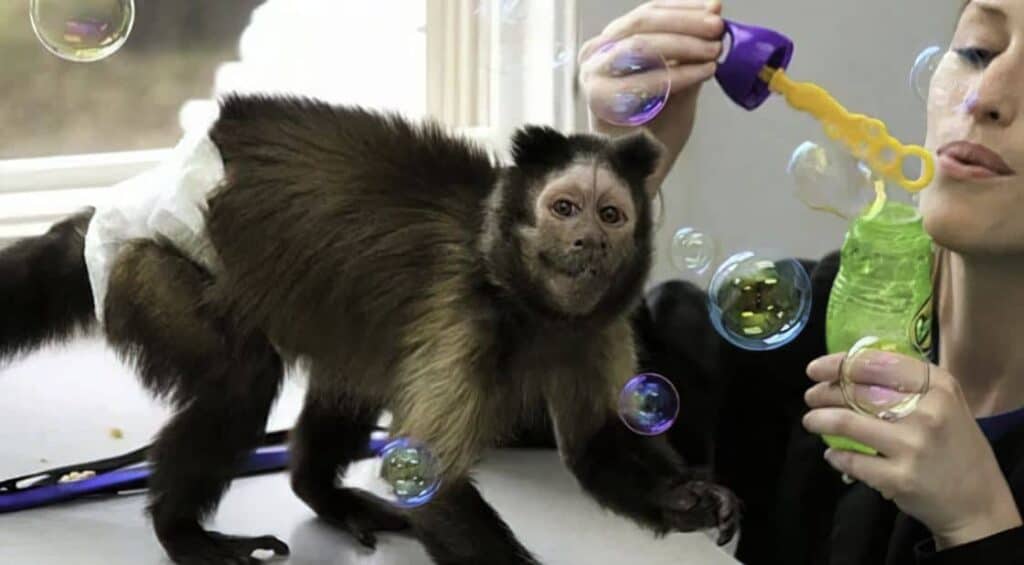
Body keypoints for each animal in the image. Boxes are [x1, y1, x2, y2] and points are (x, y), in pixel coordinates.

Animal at [0, 93, 739, 565]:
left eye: (610, 215)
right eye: (564, 209)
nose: (588, 241)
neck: (530, 307)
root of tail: (118, 206)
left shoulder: (599, 324)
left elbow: (596, 446)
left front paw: (689, 499)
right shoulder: (462, 314)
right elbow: (432, 484)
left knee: (356, 372)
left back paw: (320, 493)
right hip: (145, 268)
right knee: (244, 379)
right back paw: (181, 532)